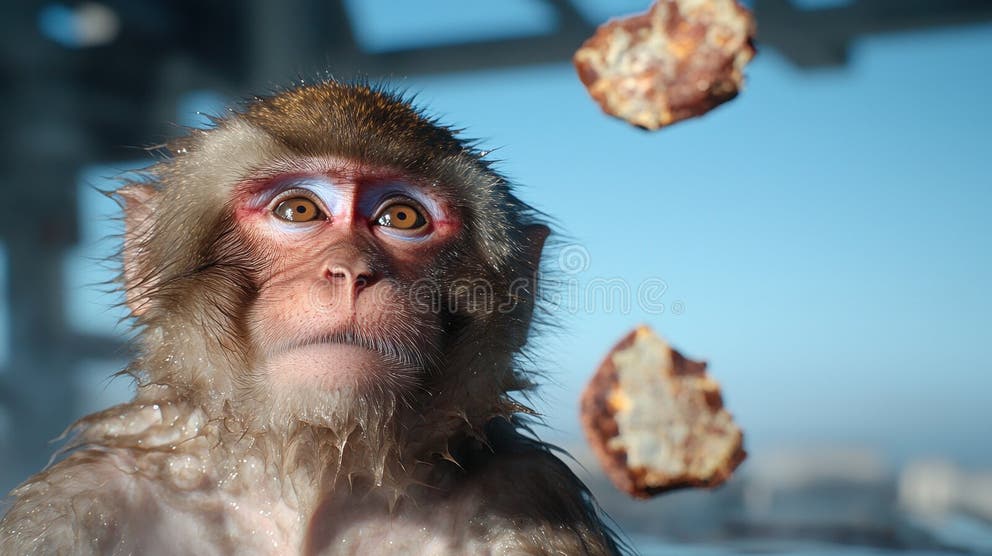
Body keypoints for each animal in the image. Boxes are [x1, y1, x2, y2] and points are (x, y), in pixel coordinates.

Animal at [0, 80, 624, 555]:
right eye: (298, 209)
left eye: (403, 217)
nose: (350, 272)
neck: (310, 481)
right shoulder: (66, 508)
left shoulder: (527, 499)